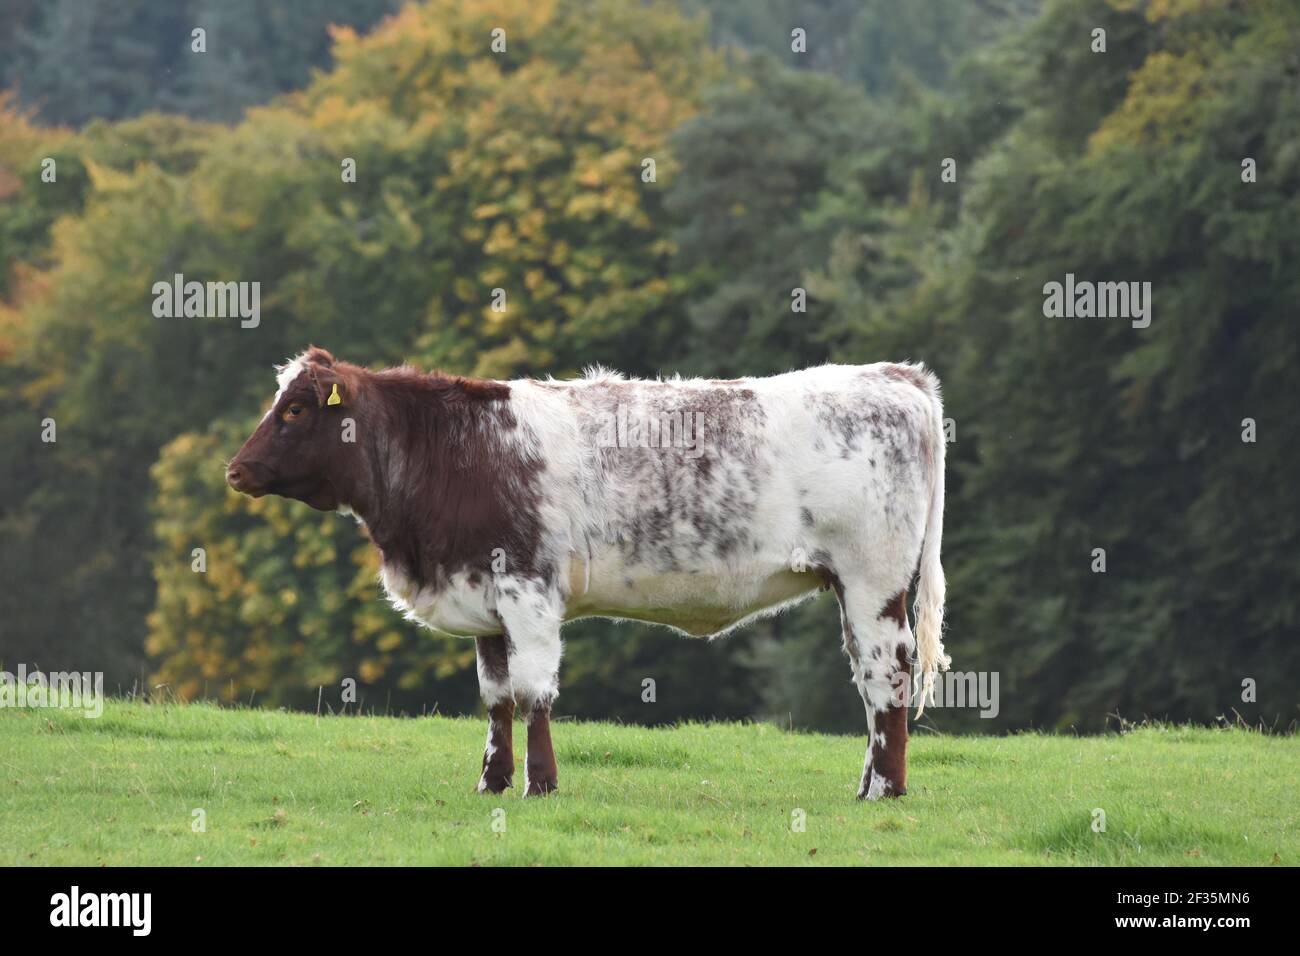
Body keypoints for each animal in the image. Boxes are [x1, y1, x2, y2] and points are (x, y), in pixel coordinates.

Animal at [227, 347, 950, 799]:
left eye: (295, 410)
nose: (235, 469)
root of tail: (895, 376)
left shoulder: (527, 591)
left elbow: (533, 693)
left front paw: (539, 785)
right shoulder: (483, 600)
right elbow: (496, 698)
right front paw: (491, 781)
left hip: (874, 579)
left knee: (887, 674)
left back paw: (884, 791)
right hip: (854, 587)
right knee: (871, 680)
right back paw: (869, 783)